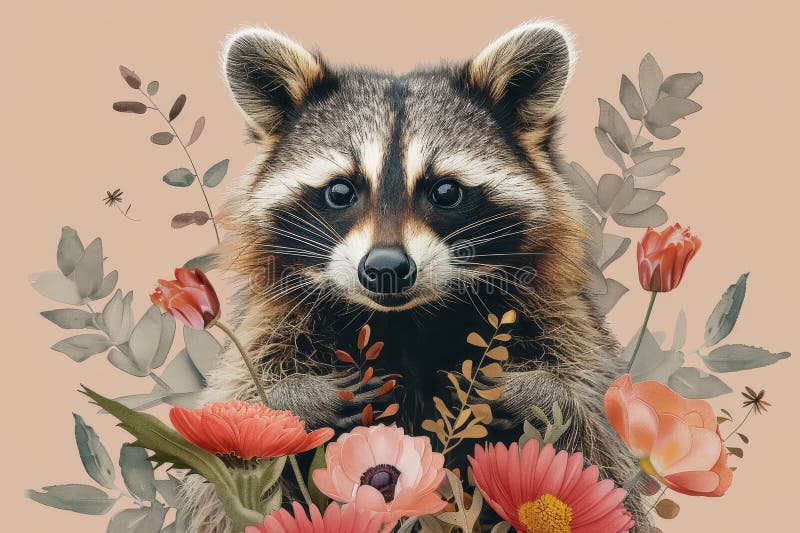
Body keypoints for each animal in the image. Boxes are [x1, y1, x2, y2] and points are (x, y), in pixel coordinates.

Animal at [184, 21, 653, 532]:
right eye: (340, 191)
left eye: (445, 191)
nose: (385, 268)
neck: (408, 320)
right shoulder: (272, 321)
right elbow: (228, 451)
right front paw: (294, 400)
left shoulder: (561, 319)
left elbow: (607, 455)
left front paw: (539, 393)